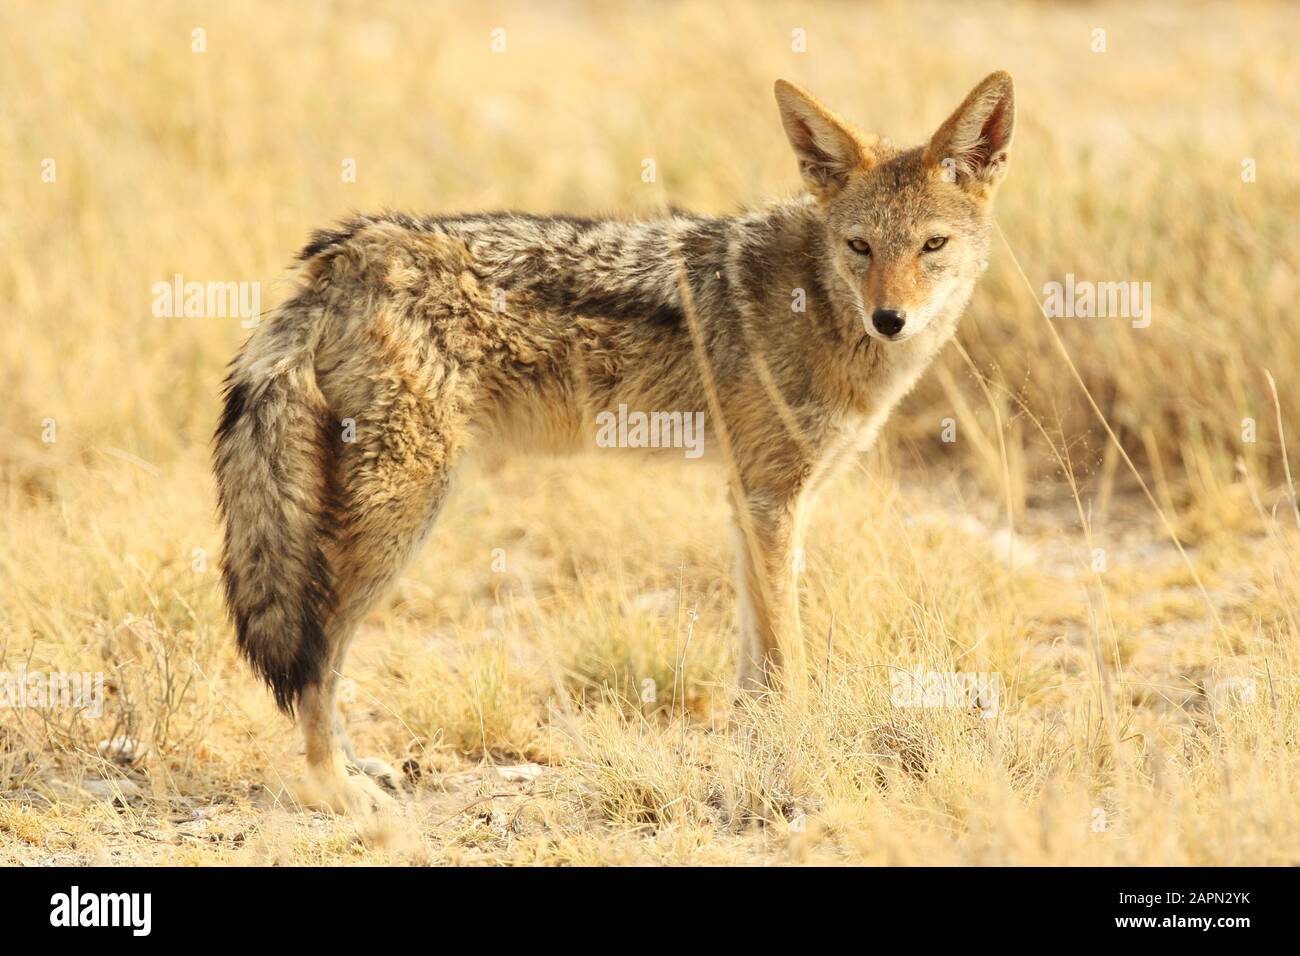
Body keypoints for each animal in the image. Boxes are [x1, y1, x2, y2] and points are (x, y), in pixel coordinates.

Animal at [214, 71, 1015, 812]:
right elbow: (787, 662)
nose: (891, 319)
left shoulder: (753, 502)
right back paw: (336, 790)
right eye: (860, 247)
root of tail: (343, 254)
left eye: (931, 246)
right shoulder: (770, 499)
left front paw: (757, 750)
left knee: (323, 656)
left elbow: (756, 663)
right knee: (315, 660)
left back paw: (358, 768)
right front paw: (799, 760)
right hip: (401, 515)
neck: (820, 306)